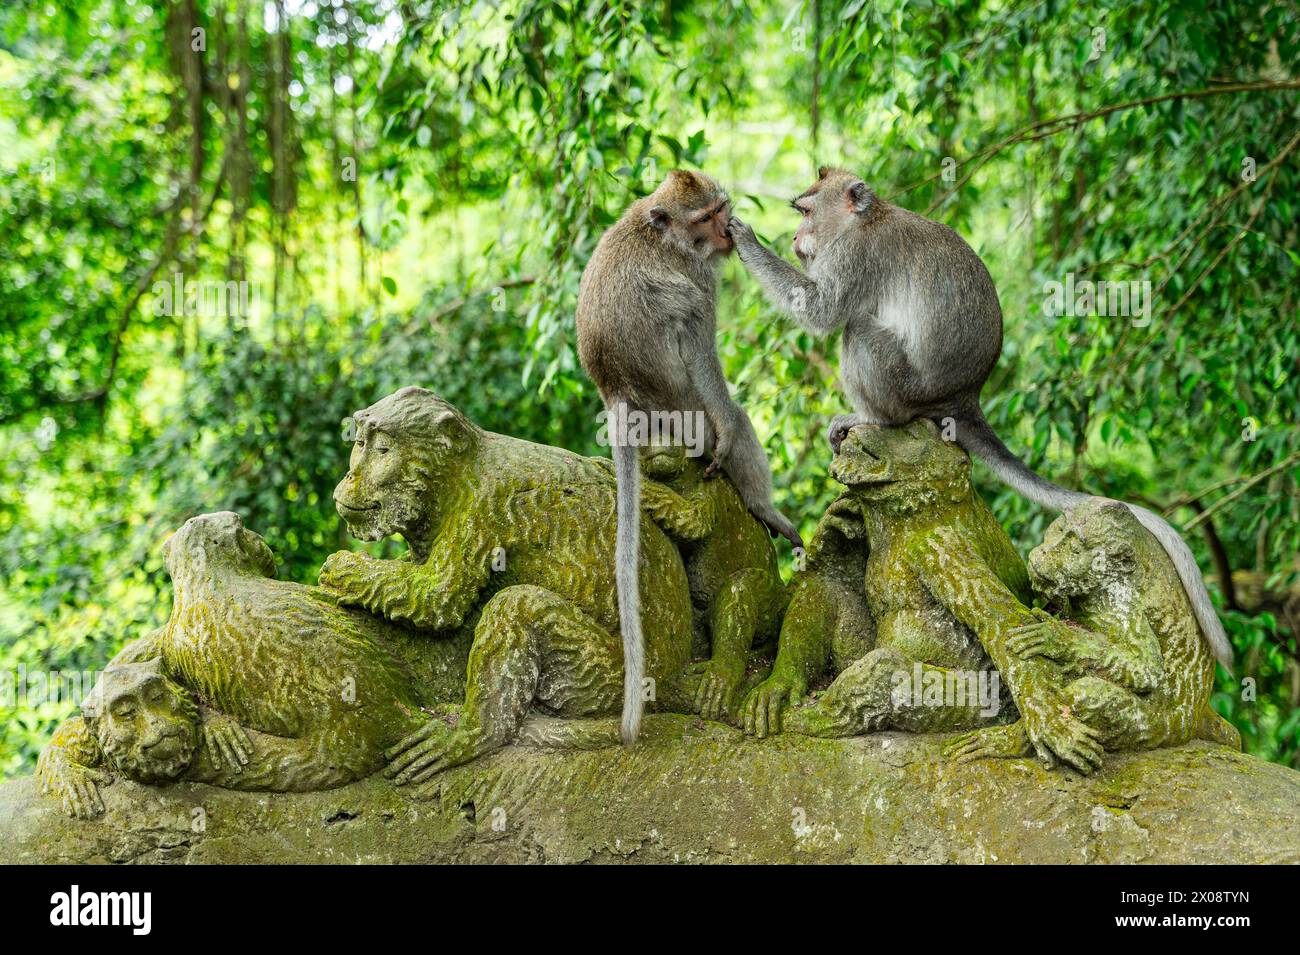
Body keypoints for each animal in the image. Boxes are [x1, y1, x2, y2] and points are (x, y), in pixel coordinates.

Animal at [576, 169, 802, 745]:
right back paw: (764, 506)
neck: (664, 235)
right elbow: (703, 355)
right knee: (733, 417)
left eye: (721, 209)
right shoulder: (697, 281)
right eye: (706, 217)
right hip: (686, 415)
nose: (726, 231)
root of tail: (617, 390)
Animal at [727, 166, 1233, 672]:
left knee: (860, 332)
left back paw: (873, 419)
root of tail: (964, 398)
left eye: (805, 212)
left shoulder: (854, 258)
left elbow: (820, 310)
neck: (863, 221)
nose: (796, 237)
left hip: (906, 386)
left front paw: (746, 239)